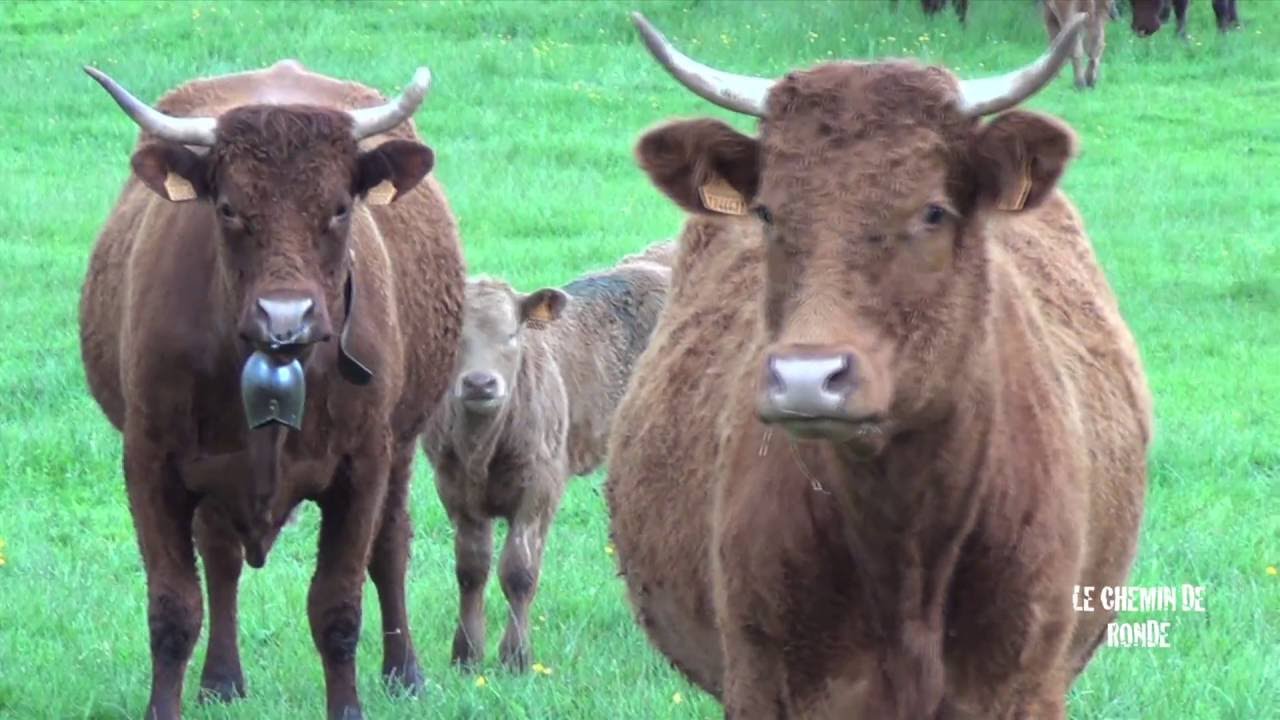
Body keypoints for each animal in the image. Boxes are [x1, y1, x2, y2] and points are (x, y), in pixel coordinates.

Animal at [79, 60, 465, 720]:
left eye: (339, 208)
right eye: (229, 208)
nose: (286, 318)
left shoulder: (364, 465)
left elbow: (337, 606)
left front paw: (349, 707)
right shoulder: (151, 462)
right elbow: (174, 609)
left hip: (404, 445)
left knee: (390, 547)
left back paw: (404, 672)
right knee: (221, 558)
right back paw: (221, 680)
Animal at [423, 244, 671, 673]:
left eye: (512, 333)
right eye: (454, 335)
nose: (480, 383)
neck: (482, 447)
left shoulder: (539, 489)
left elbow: (519, 571)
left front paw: (516, 658)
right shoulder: (454, 490)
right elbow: (471, 569)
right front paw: (466, 655)